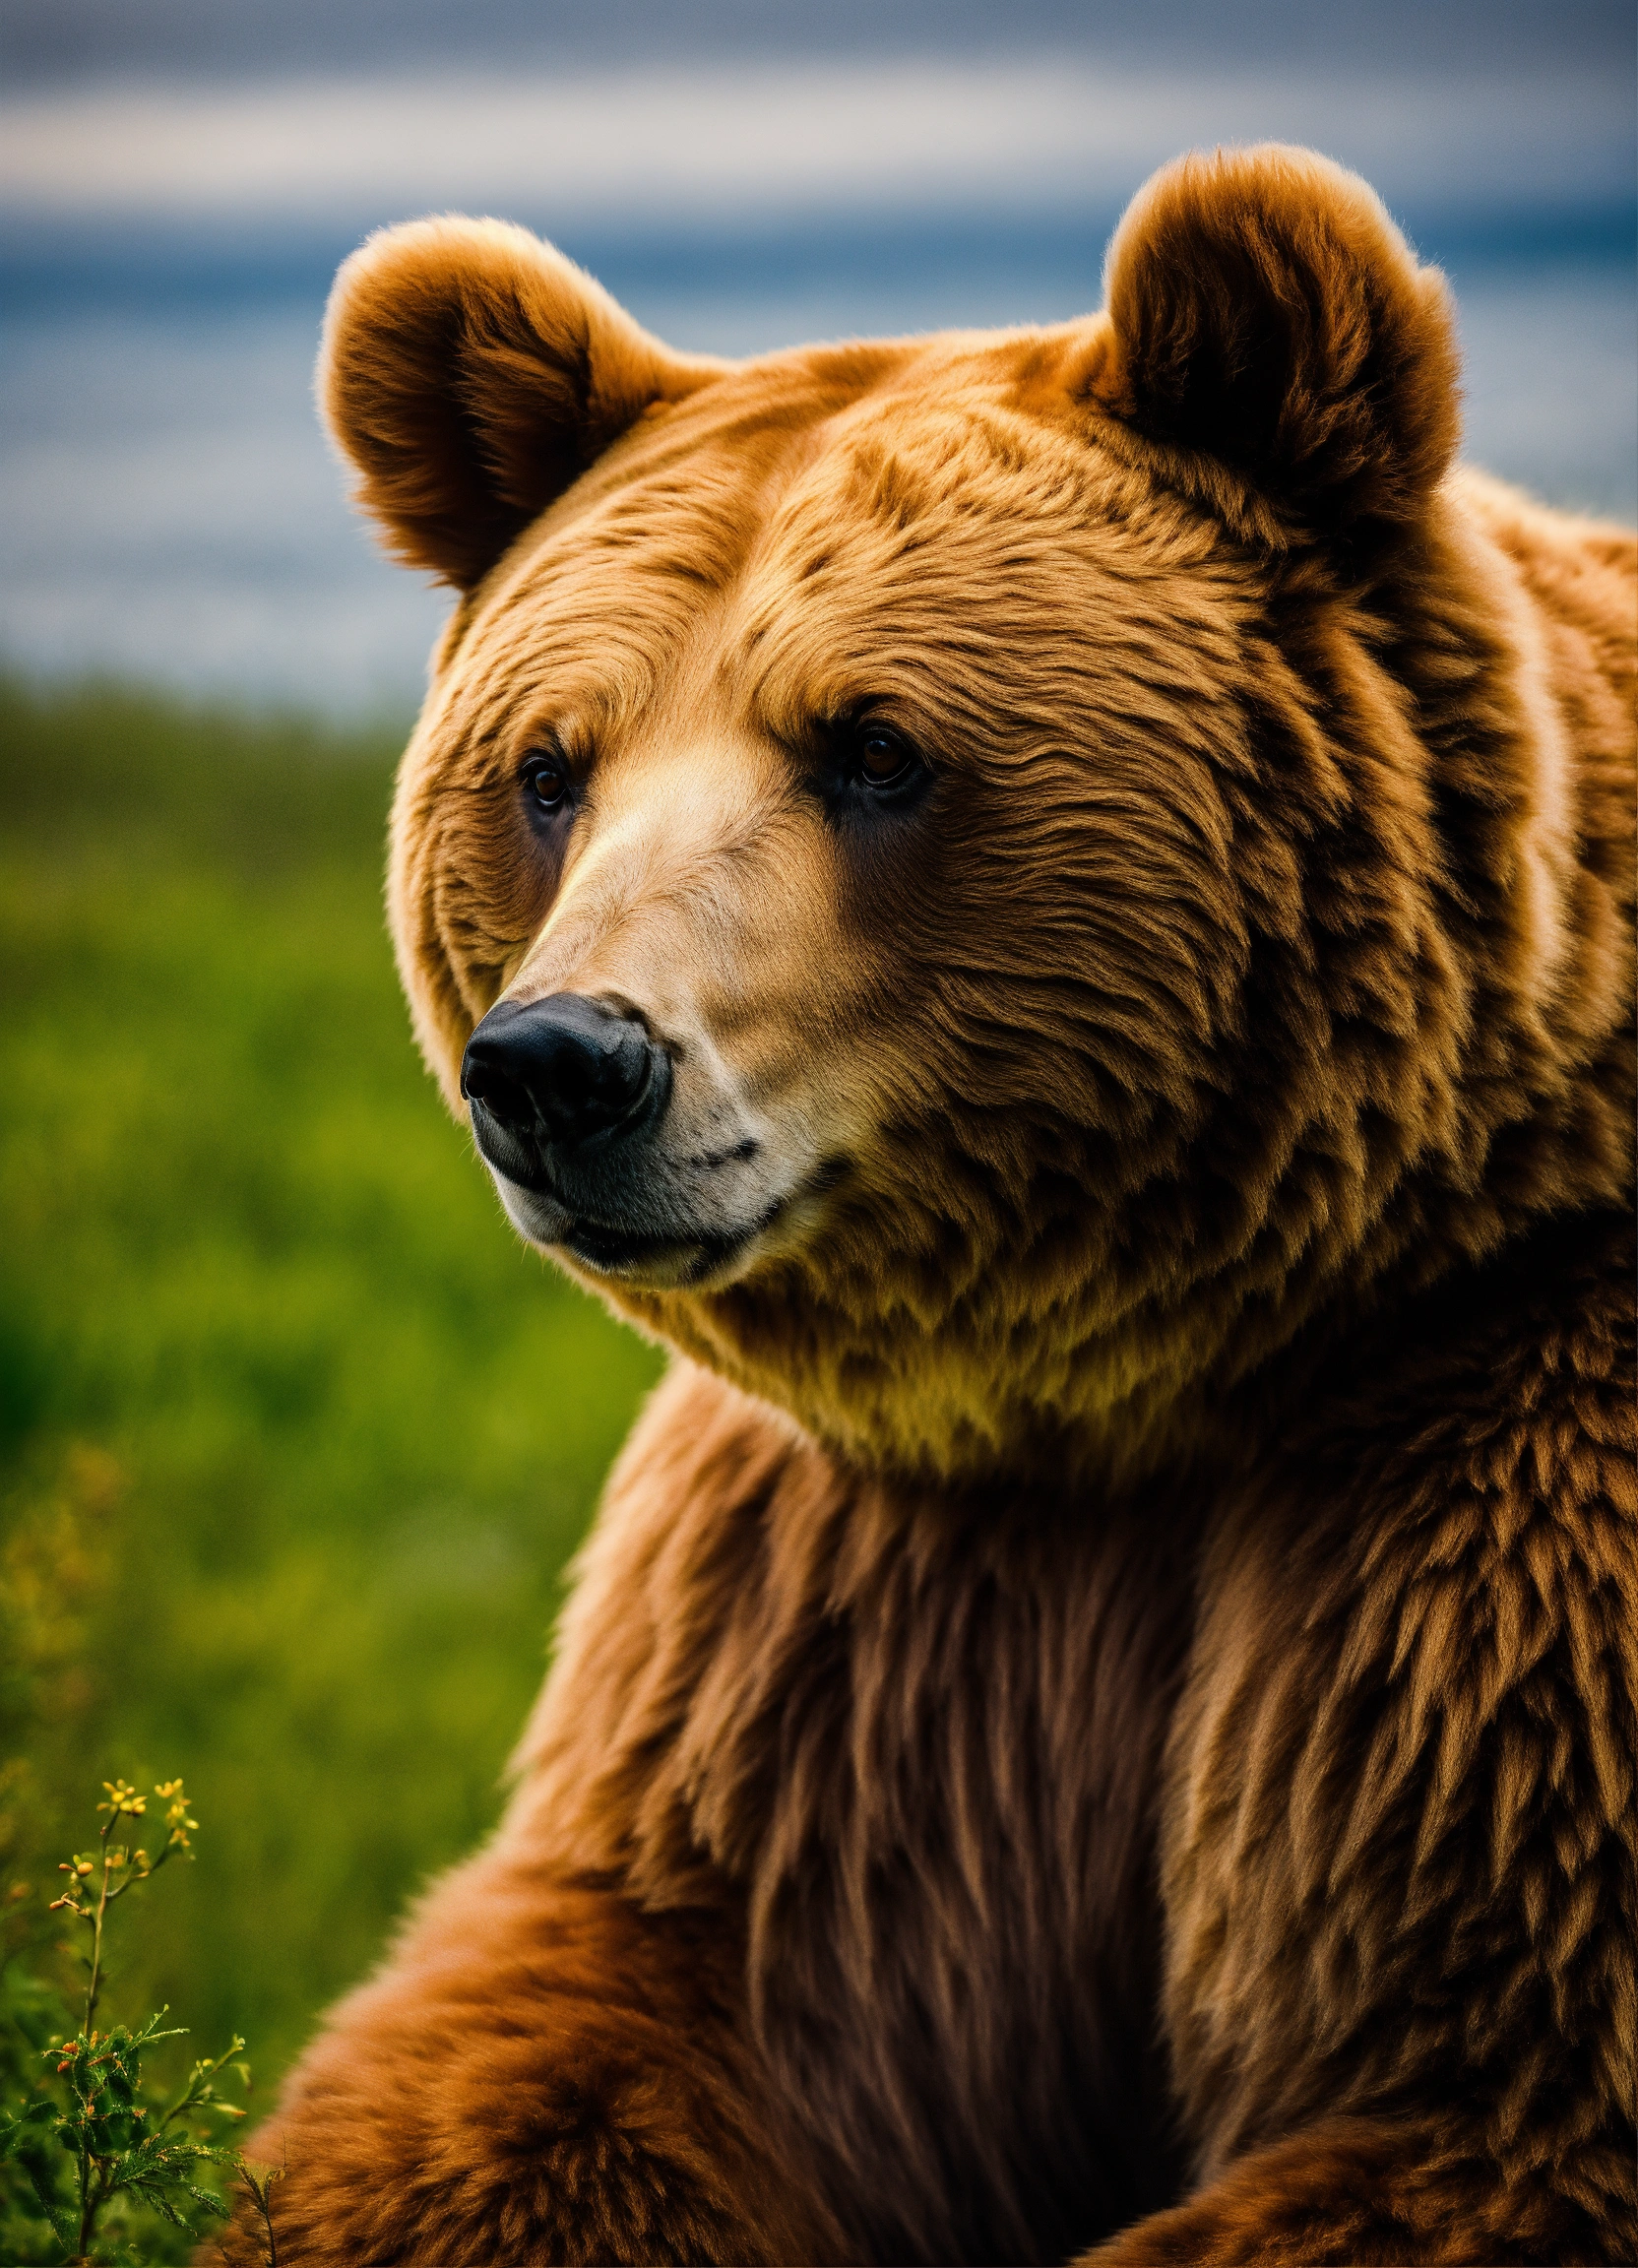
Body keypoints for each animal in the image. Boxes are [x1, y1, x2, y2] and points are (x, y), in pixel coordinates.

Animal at [232, 145, 1635, 2264]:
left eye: (872, 744)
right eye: (549, 768)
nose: (558, 1064)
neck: (1160, 1367)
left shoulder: (1490, 1525)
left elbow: (1482, 2098)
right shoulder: (871, 1608)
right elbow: (616, 2014)